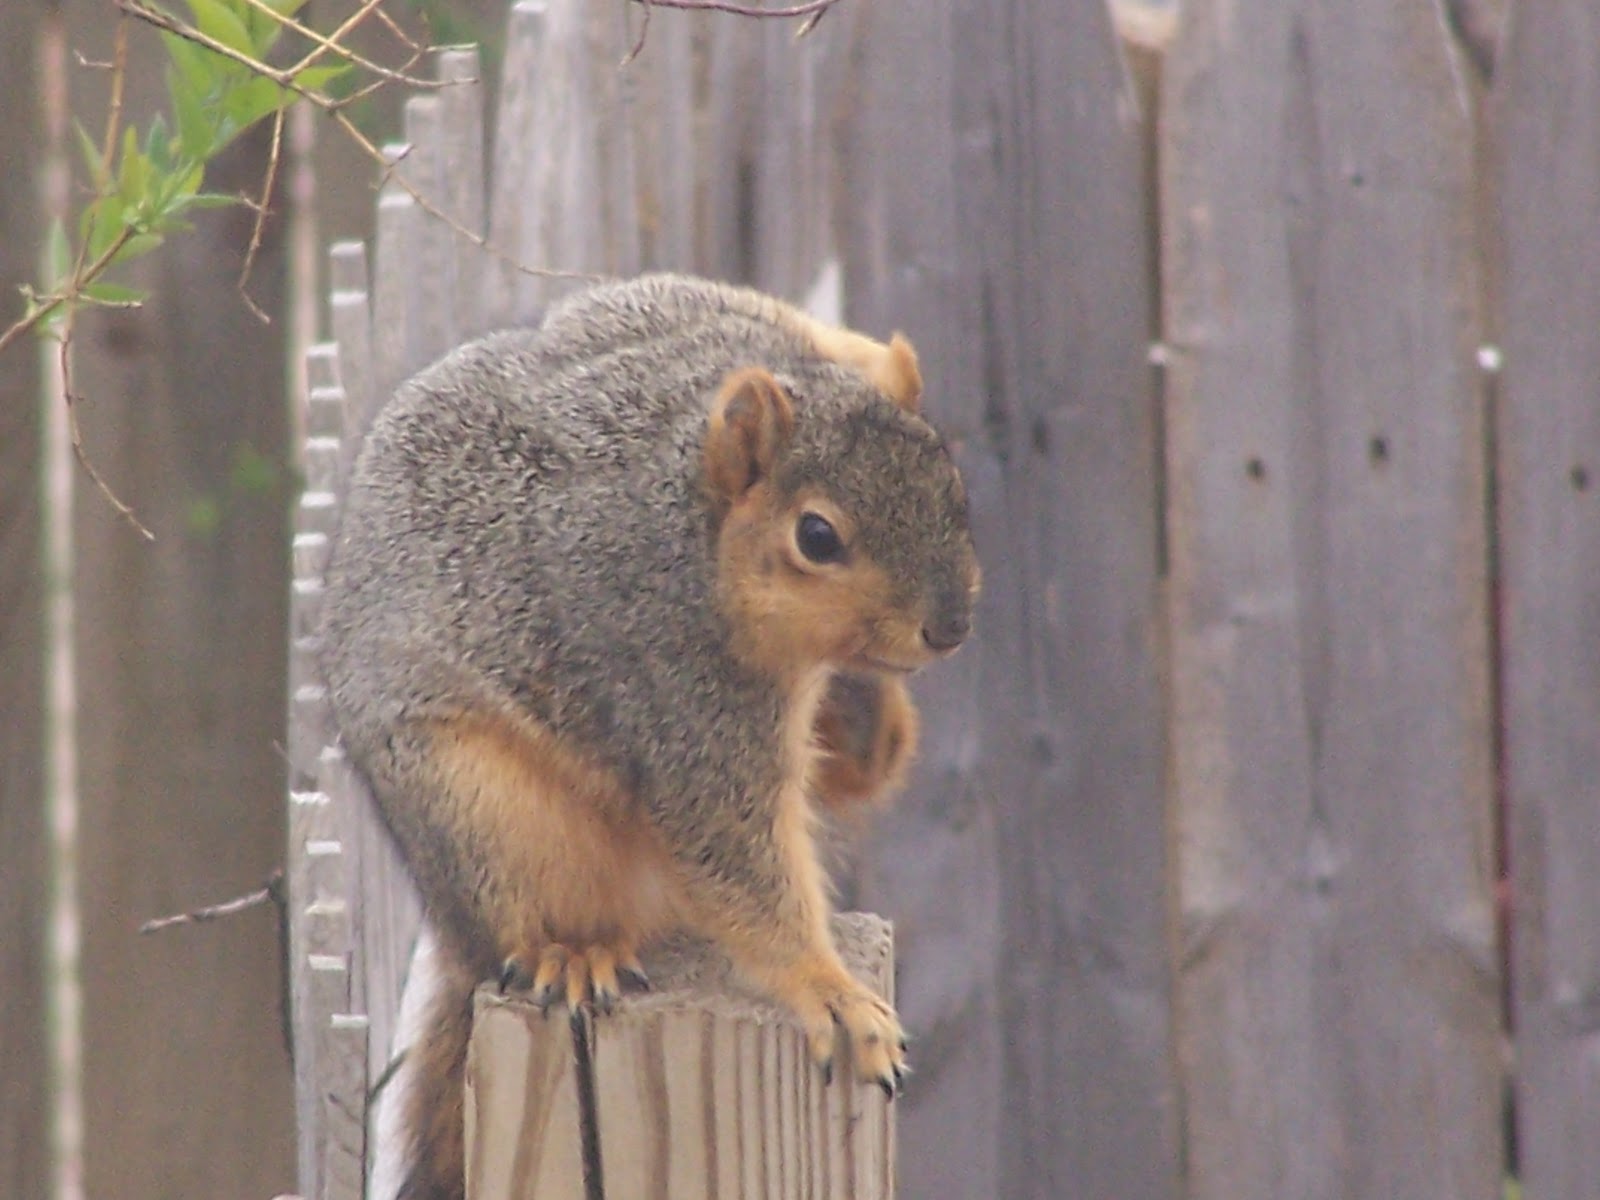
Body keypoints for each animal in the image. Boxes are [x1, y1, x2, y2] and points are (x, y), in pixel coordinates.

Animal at [320, 272, 979, 1200]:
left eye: (954, 490)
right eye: (816, 536)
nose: (950, 627)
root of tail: (452, 920)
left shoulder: (685, 312)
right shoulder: (673, 686)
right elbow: (737, 861)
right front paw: (832, 993)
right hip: (479, 806)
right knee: (530, 912)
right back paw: (571, 952)